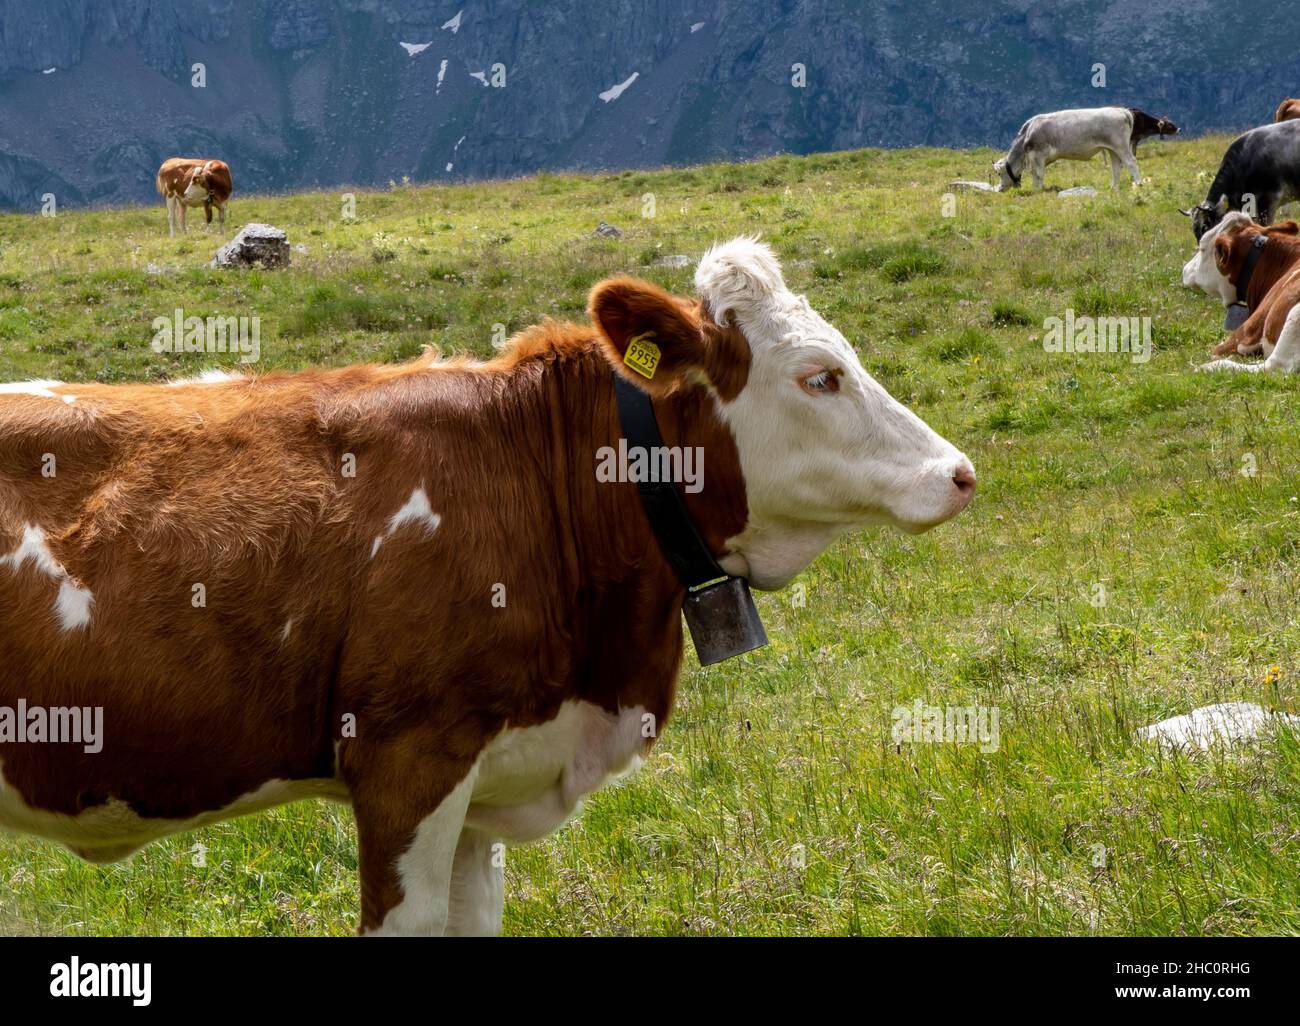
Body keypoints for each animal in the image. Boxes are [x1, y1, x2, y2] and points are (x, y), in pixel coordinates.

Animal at [993, 107, 1150, 191]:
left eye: (999, 173)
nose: (1000, 189)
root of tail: (1120, 110)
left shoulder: (1038, 155)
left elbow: (1038, 174)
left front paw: (1039, 189)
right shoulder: (1035, 158)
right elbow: (1034, 174)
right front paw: (1036, 188)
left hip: (1120, 146)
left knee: (1131, 162)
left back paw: (1139, 183)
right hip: (1113, 149)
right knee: (1116, 167)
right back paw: (1113, 187)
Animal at [1182, 212, 1300, 372]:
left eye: (1201, 248)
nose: (1184, 268)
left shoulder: (1246, 331)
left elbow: (1215, 350)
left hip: (1294, 318)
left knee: (1273, 367)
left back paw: (1208, 367)